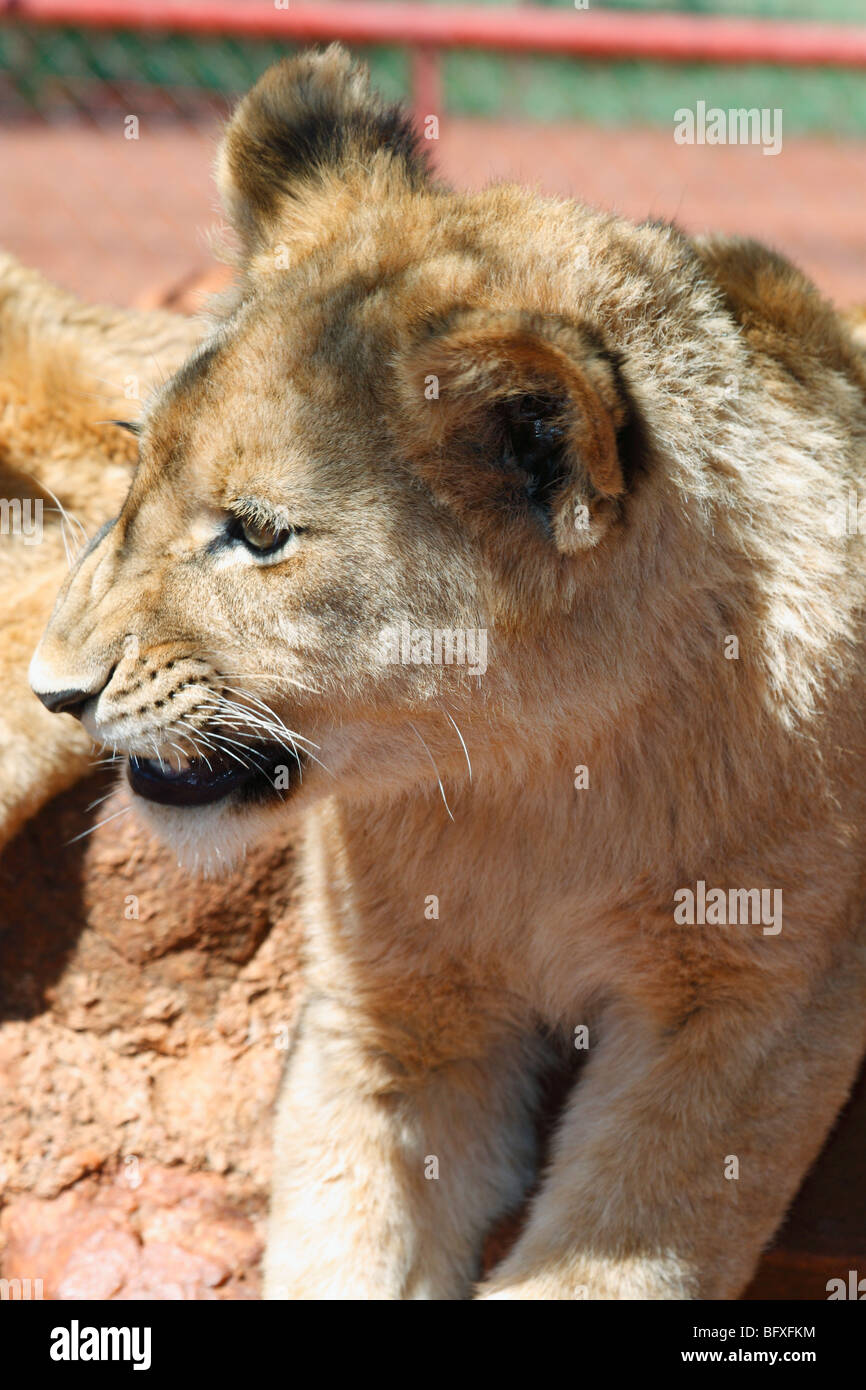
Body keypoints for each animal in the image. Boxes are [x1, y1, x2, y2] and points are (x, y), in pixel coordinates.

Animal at [20, 46, 866, 1299]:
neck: (534, 779)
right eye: (135, 472)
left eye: (257, 535)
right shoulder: (387, 1006)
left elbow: (610, 1254)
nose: (54, 691)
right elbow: (339, 1234)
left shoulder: (752, 1004)